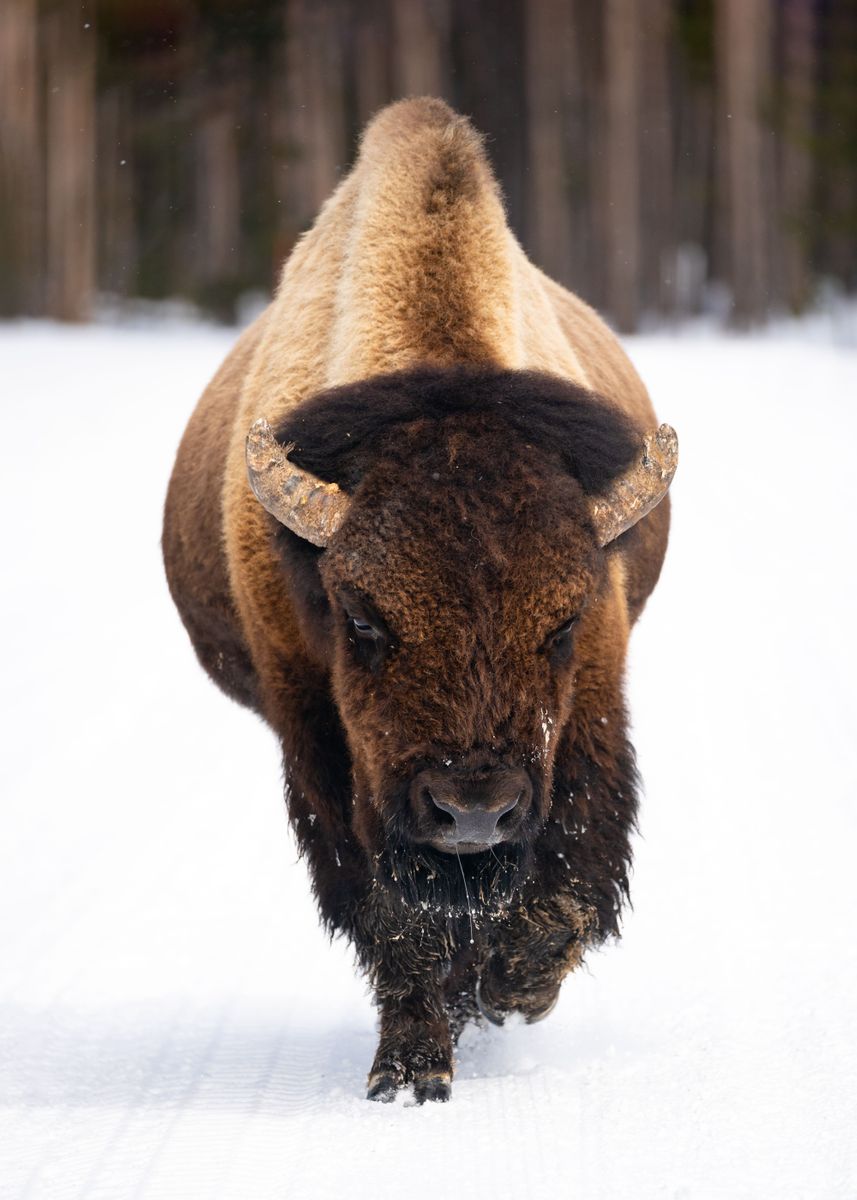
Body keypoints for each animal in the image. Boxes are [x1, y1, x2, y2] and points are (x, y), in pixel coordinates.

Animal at [162, 97, 677, 1103]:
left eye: (561, 621)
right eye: (361, 618)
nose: (471, 811)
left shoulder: (590, 702)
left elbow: (566, 880)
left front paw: (513, 992)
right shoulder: (319, 736)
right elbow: (388, 912)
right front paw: (409, 1073)